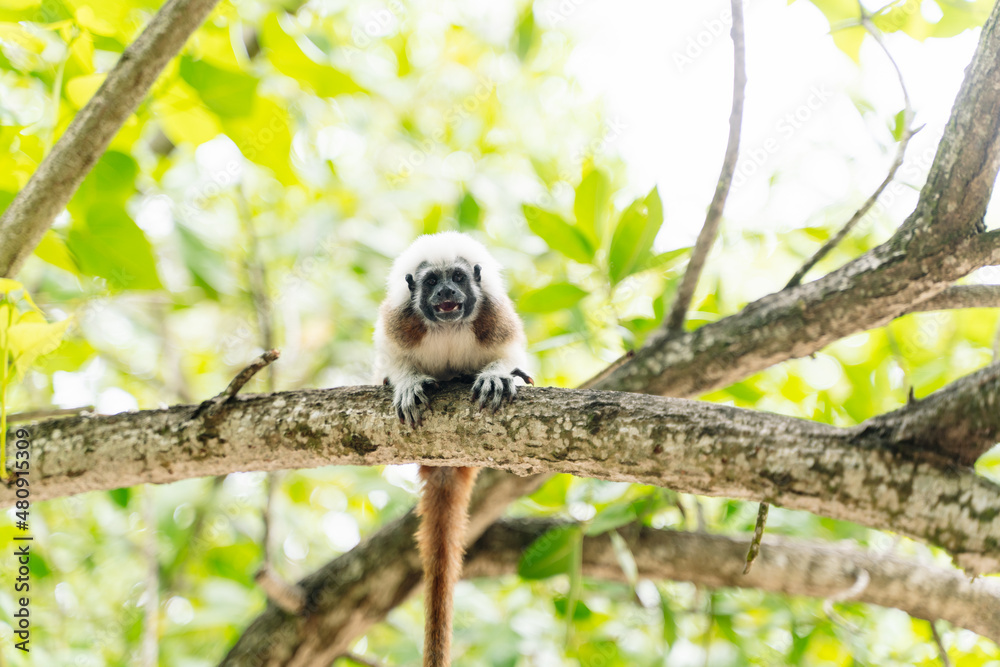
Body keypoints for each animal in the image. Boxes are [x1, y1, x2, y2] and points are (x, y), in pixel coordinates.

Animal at [373, 231, 532, 667]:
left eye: (458, 278)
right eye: (432, 282)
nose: (446, 293)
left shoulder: (495, 317)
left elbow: (509, 353)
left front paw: (499, 375)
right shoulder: (400, 322)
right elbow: (392, 358)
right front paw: (405, 383)